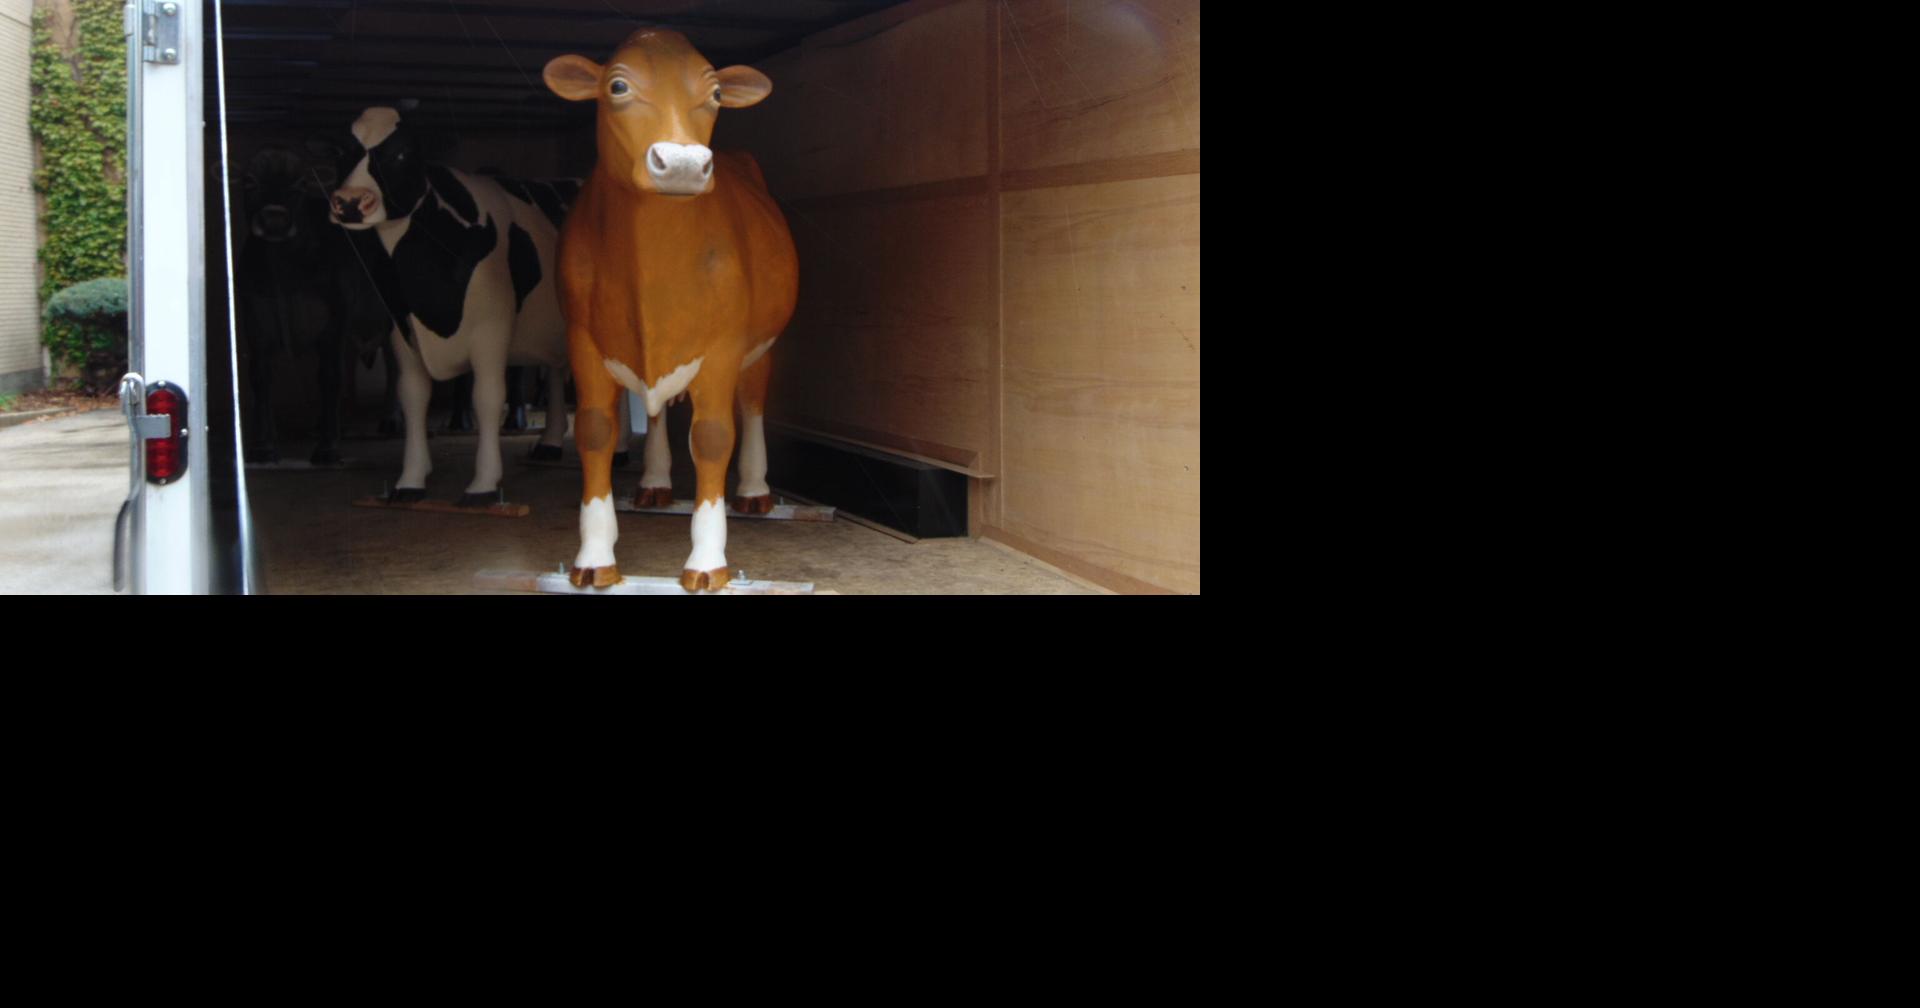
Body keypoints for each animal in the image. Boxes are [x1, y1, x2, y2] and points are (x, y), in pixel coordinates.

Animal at [235, 145, 398, 464]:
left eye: (299, 185)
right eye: (249, 182)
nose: (274, 218)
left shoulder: (336, 314)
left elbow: (329, 376)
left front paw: (327, 447)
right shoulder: (255, 317)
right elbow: (260, 376)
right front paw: (264, 447)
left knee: (398, 366)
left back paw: (394, 420)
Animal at [325, 107, 621, 505]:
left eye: (402, 153)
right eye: (341, 150)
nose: (350, 202)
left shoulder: (490, 331)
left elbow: (487, 398)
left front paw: (483, 483)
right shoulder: (404, 334)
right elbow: (413, 398)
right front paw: (410, 480)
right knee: (557, 371)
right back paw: (550, 443)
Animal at [544, 28, 799, 591]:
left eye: (717, 95)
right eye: (617, 85)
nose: (683, 164)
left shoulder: (725, 345)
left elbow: (713, 436)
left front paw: (707, 560)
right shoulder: (581, 338)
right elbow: (594, 429)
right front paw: (594, 556)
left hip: (764, 346)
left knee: (752, 405)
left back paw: (753, 491)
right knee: (657, 412)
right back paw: (656, 483)